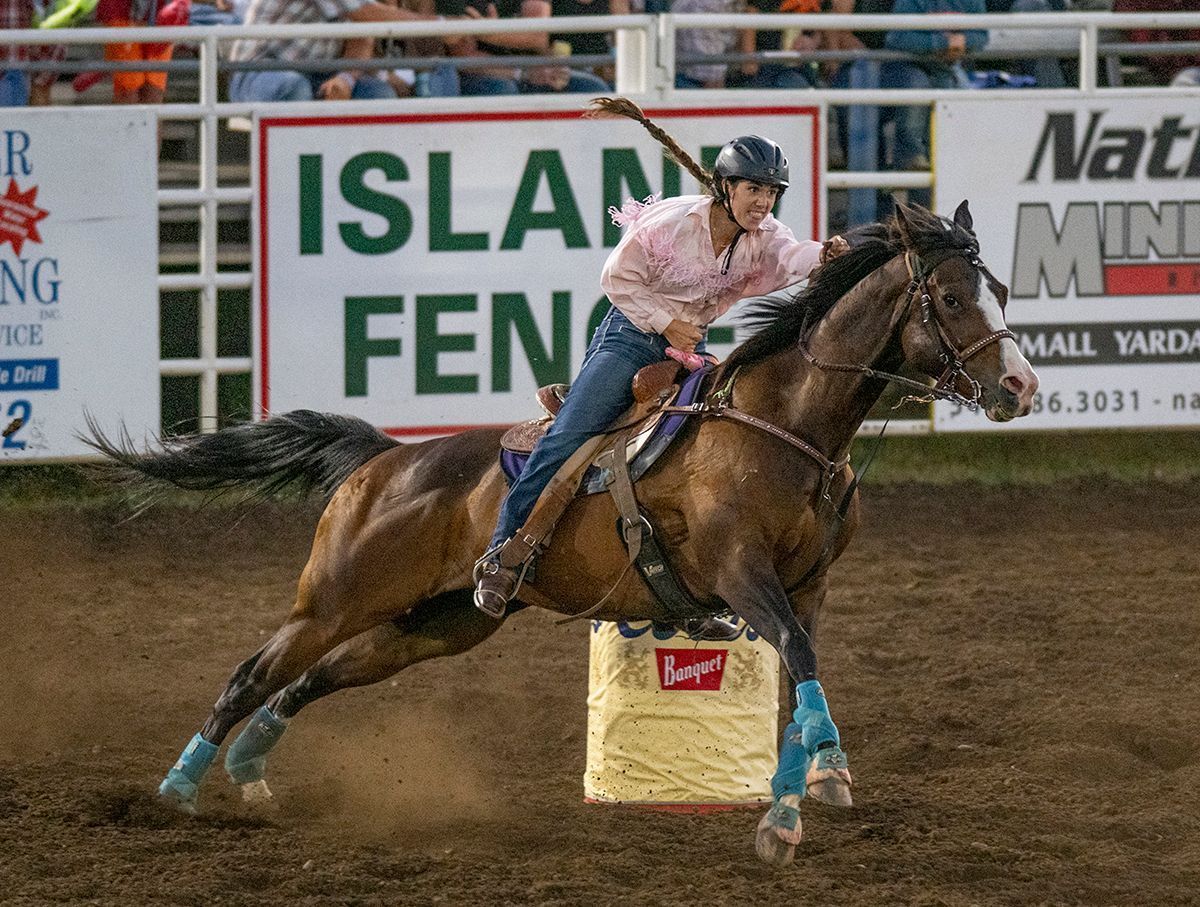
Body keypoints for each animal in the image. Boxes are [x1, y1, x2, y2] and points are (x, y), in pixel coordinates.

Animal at [89, 200, 1038, 867]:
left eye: (997, 290)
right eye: (950, 295)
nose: (1021, 388)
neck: (783, 426)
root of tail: (385, 459)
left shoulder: (809, 588)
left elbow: (802, 682)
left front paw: (780, 814)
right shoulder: (741, 573)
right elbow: (802, 666)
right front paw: (831, 775)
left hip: (441, 621)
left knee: (318, 675)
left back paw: (250, 765)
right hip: (334, 596)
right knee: (255, 669)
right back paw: (178, 786)